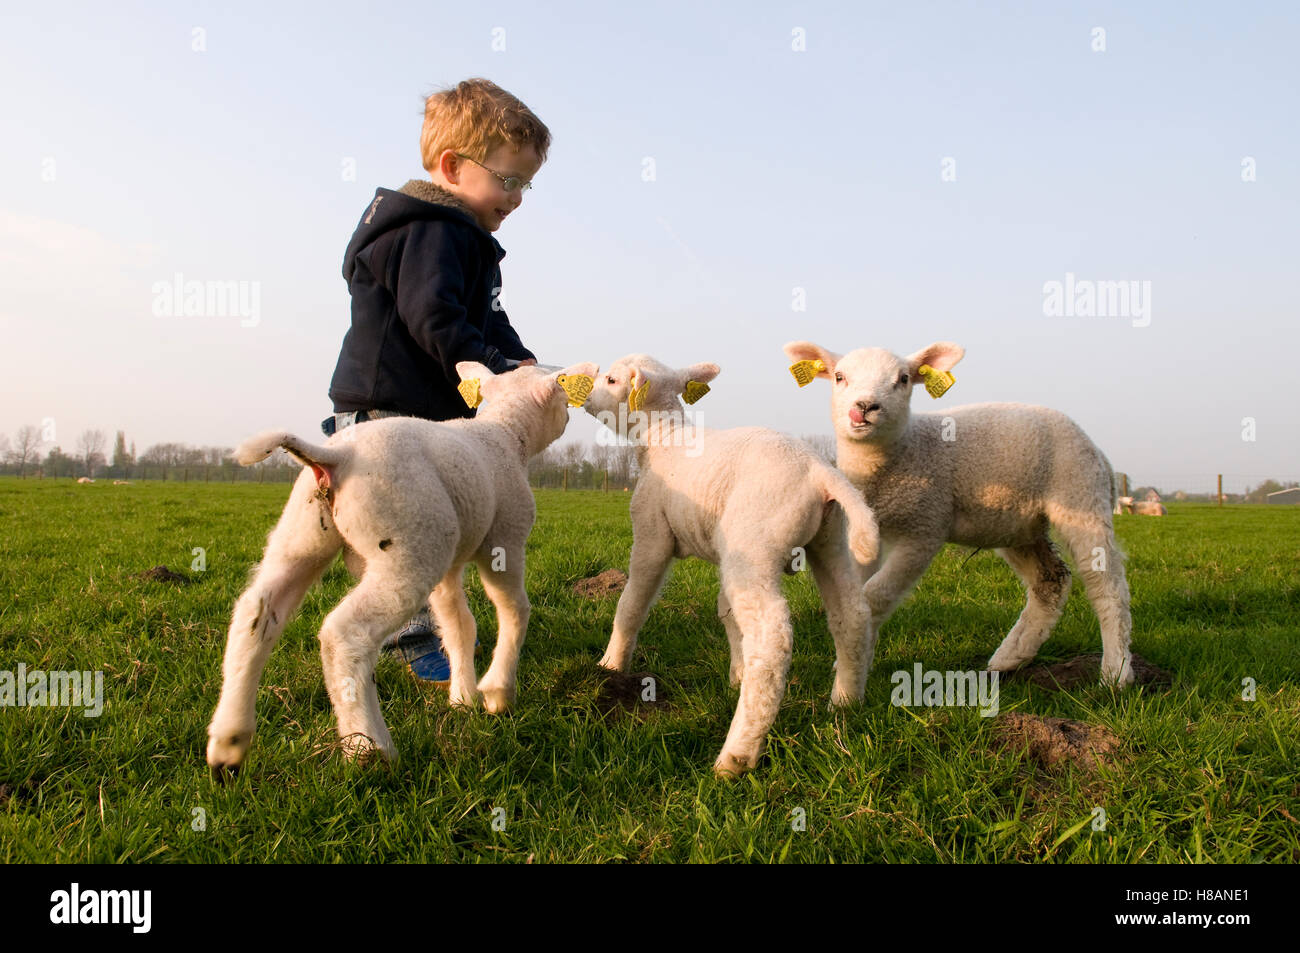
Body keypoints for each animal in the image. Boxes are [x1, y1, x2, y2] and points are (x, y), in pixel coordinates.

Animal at [205, 361, 598, 776]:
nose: (570, 415)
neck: (506, 431)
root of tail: (337, 457)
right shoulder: (506, 538)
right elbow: (513, 610)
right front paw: (498, 692)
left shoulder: (449, 564)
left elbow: (458, 625)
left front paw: (463, 698)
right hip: (408, 547)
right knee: (345, 634)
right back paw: (368, 749)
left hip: (305, 535)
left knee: (256, 613)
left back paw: (229, 741)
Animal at [583, 355, 880, 776]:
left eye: (610, 379)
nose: (586, 400)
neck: (662, 440)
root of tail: (819, 471)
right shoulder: (722, 552)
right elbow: (728, 615)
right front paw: (737, 675)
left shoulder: (652, 533)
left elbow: (632, 603)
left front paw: (610, 665)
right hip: (828, 540)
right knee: (851, 615)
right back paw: (845, 703)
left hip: (753, 542)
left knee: (772, 639)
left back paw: (735, 757)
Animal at [784, 340, 1133, 687]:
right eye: (839, 377)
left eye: (904, 379)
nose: (865, 407)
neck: (895, 456)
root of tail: (1099, 452)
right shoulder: (867, 530)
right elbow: (858, 593)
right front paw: (851, 655)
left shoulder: (925, 528)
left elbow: (876, 596)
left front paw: (854, 660)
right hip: (1018, 523)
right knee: (1051, 580)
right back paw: (1010, 658)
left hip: (1081, 496)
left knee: (1108, 587)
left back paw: (1116, 672)